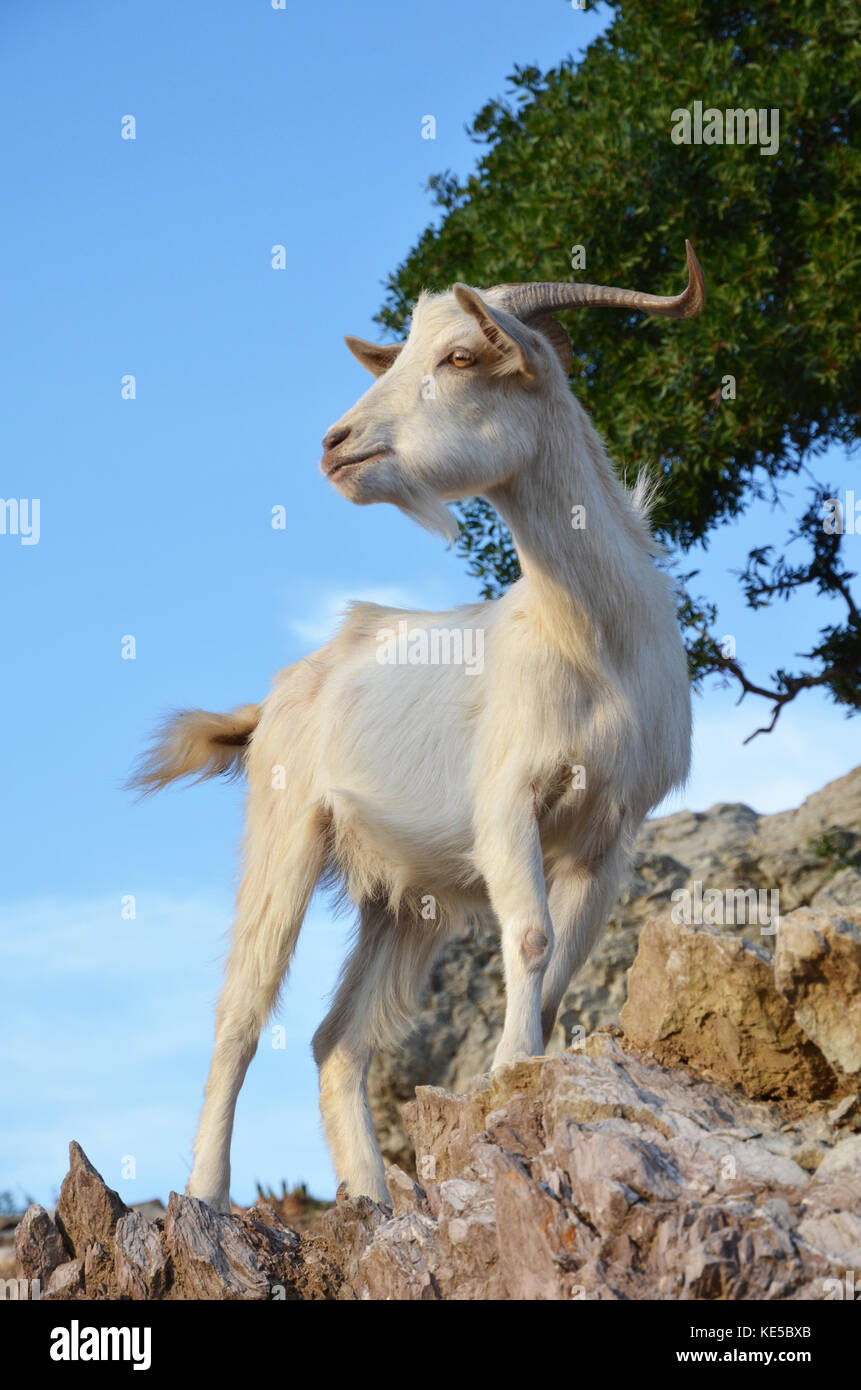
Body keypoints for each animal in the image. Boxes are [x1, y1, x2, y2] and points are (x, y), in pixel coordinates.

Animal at [133, 243, 704, 1208]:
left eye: (460, 356)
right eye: (396, 356)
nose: (335, 445)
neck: (593, 644)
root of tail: (281, 691)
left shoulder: (610, 831)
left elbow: (557, 968)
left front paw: (526, 1064)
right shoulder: (506, 801)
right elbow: (530, 934)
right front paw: (511, 1068)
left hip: (407, 898)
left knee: (337, 1040)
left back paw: (370, 1196)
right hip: (286, 834)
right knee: (240, 1016)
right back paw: (207, 1194)